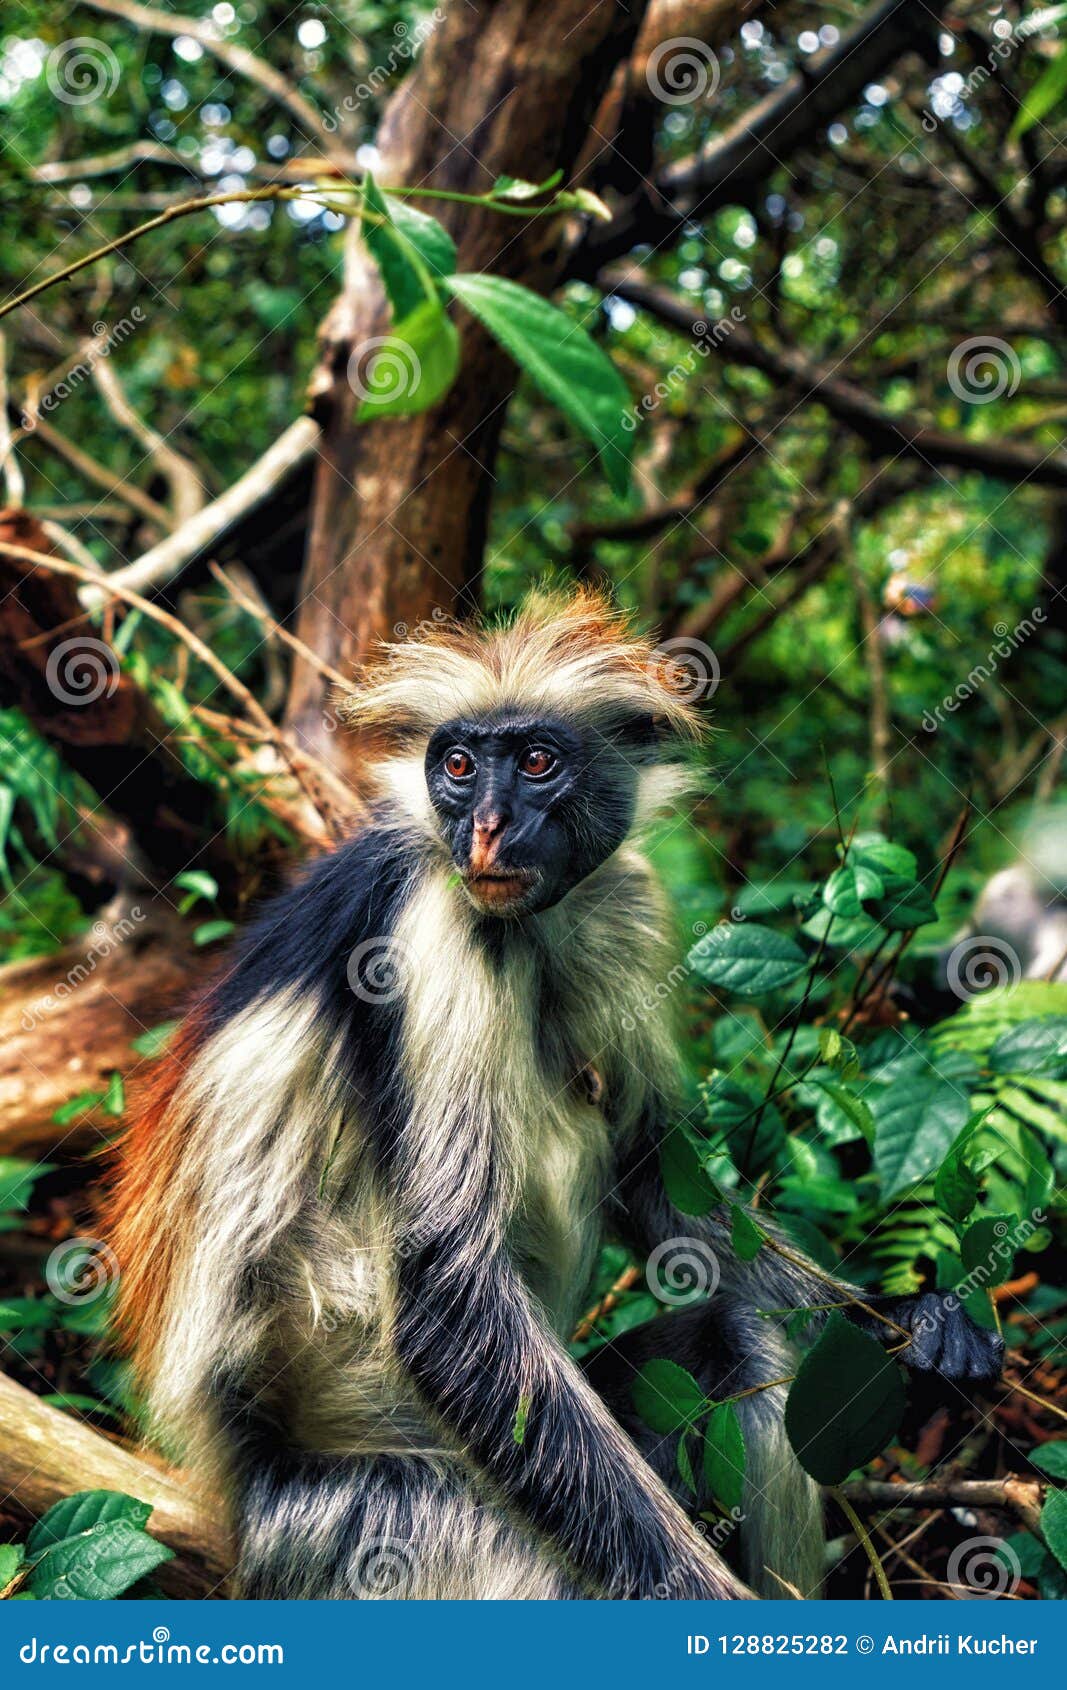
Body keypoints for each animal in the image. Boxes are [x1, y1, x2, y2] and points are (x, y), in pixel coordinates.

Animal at [106, 591, 1002, 1602]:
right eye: (458, 767)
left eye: (536, 761)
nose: (486, 831)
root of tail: (246, 1509)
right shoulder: (433, 924)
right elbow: (449, 1298)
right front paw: (692, 1591)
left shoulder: (621, 898)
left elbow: (657, 1176)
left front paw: (912, 1322)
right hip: (376, 1529)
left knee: (742, 1338)